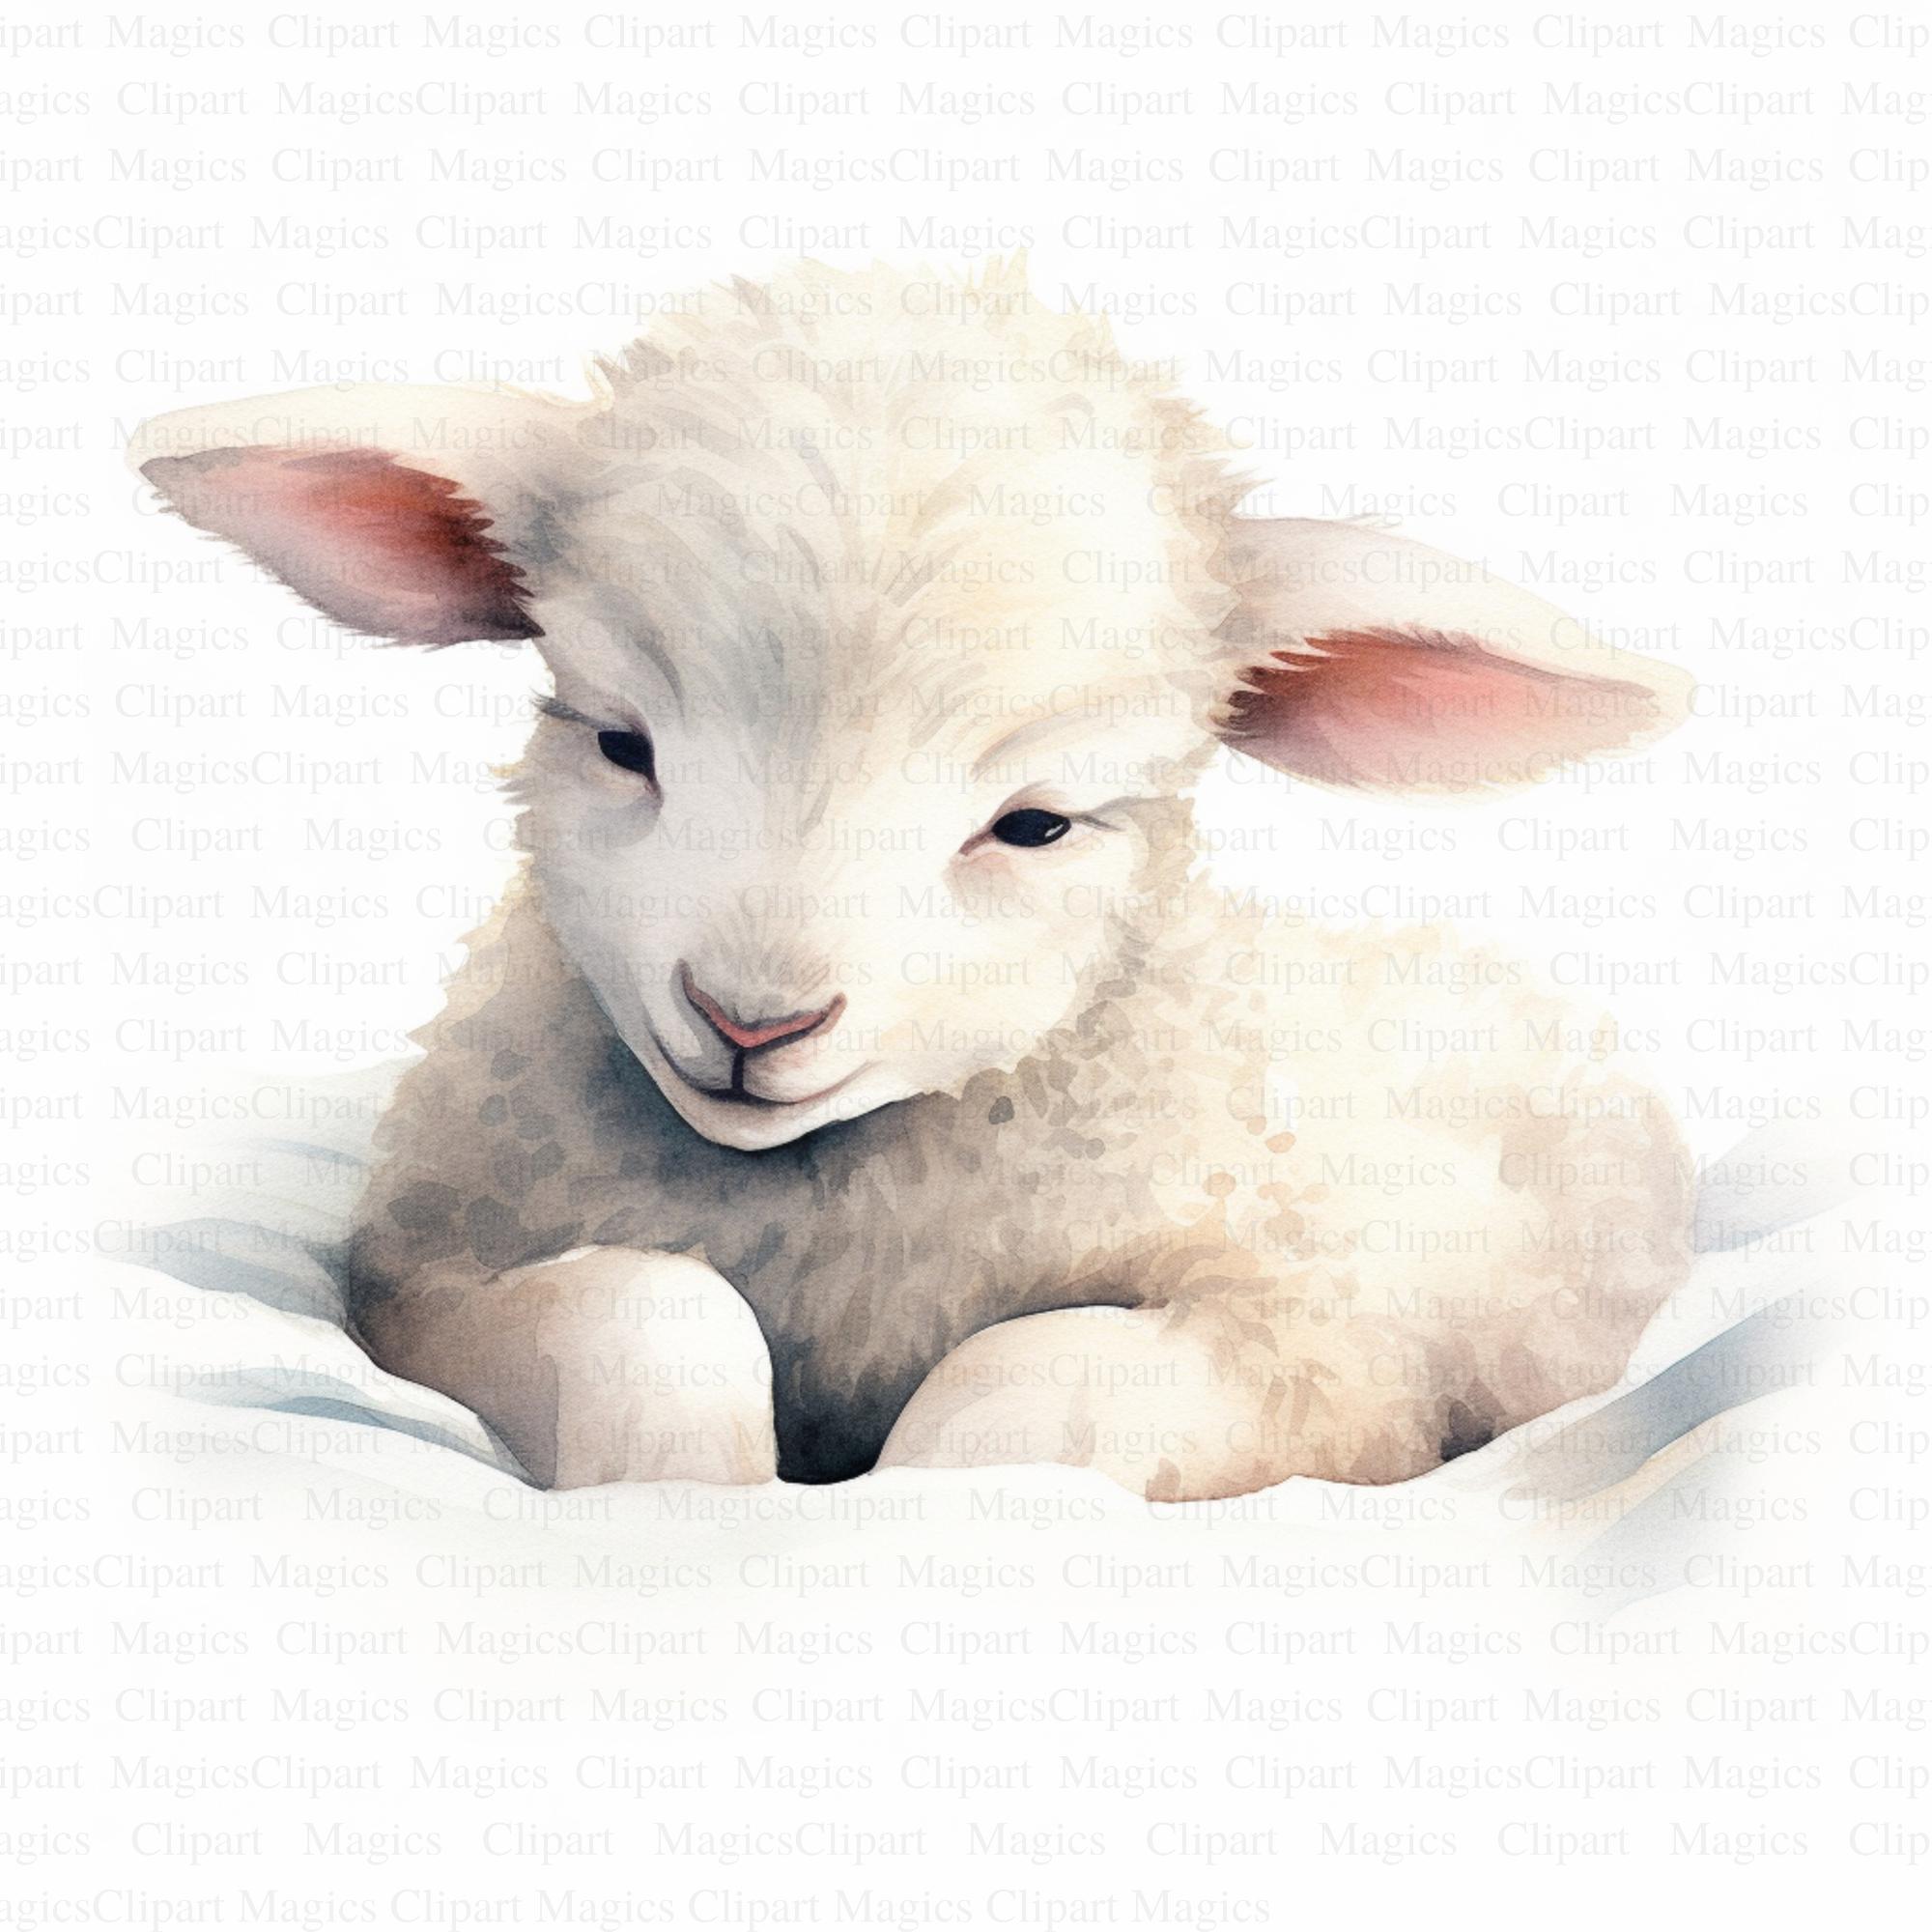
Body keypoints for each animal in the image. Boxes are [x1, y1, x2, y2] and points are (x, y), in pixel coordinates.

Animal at [131, 257, 1694, 1499]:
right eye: (619, 741)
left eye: (1035, 826)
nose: (753, 1018)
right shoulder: (420, 1274)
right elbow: (643, 1313)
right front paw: (684, 1491)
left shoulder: (1325, 1347)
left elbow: (1031, 1390)